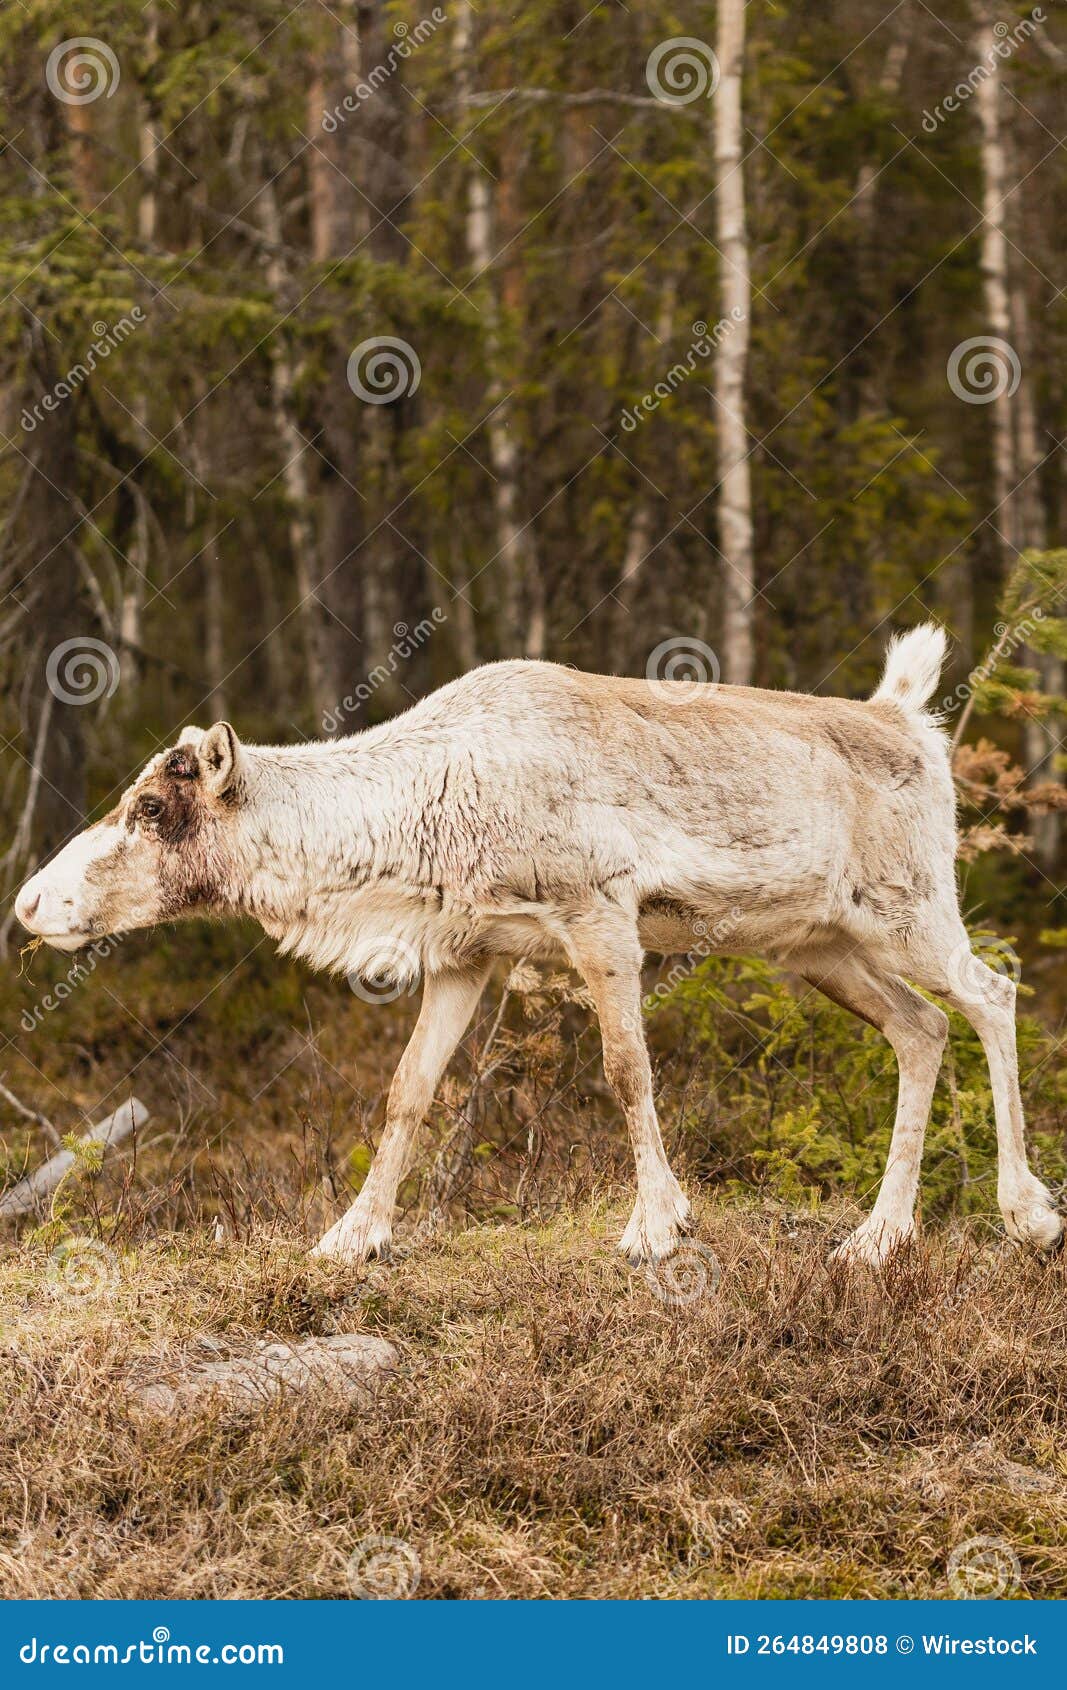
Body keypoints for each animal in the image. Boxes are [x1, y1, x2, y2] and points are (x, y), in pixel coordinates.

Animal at [14, 624, 1062, 1269]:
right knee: (921, 1029)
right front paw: (352, 1236)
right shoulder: (462, 954)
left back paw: (1024, 1211)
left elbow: (626, 1070)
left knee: (993, 994)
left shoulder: (601, 917)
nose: (28, 902)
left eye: (152, 808)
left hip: (910, 909)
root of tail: (909, 718)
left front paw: (657, 1225)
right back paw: (878, 1237)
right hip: (818, 945)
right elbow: (406, 1092)